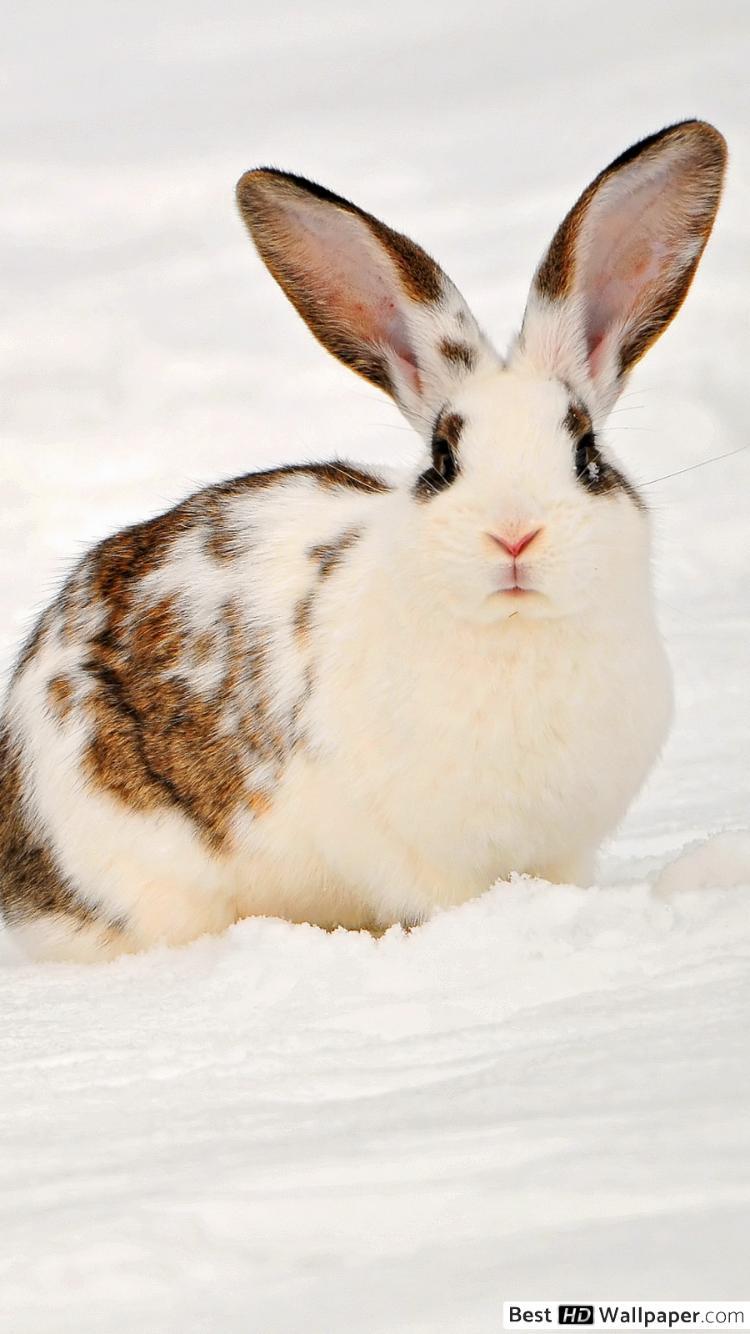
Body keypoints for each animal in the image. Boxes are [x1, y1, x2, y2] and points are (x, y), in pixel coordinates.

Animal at [0, 120, 726, 962]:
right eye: (442, 462)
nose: (513, 536)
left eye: (586, 455)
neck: (516, 636)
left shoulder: (563, 848)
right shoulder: (411, 855)